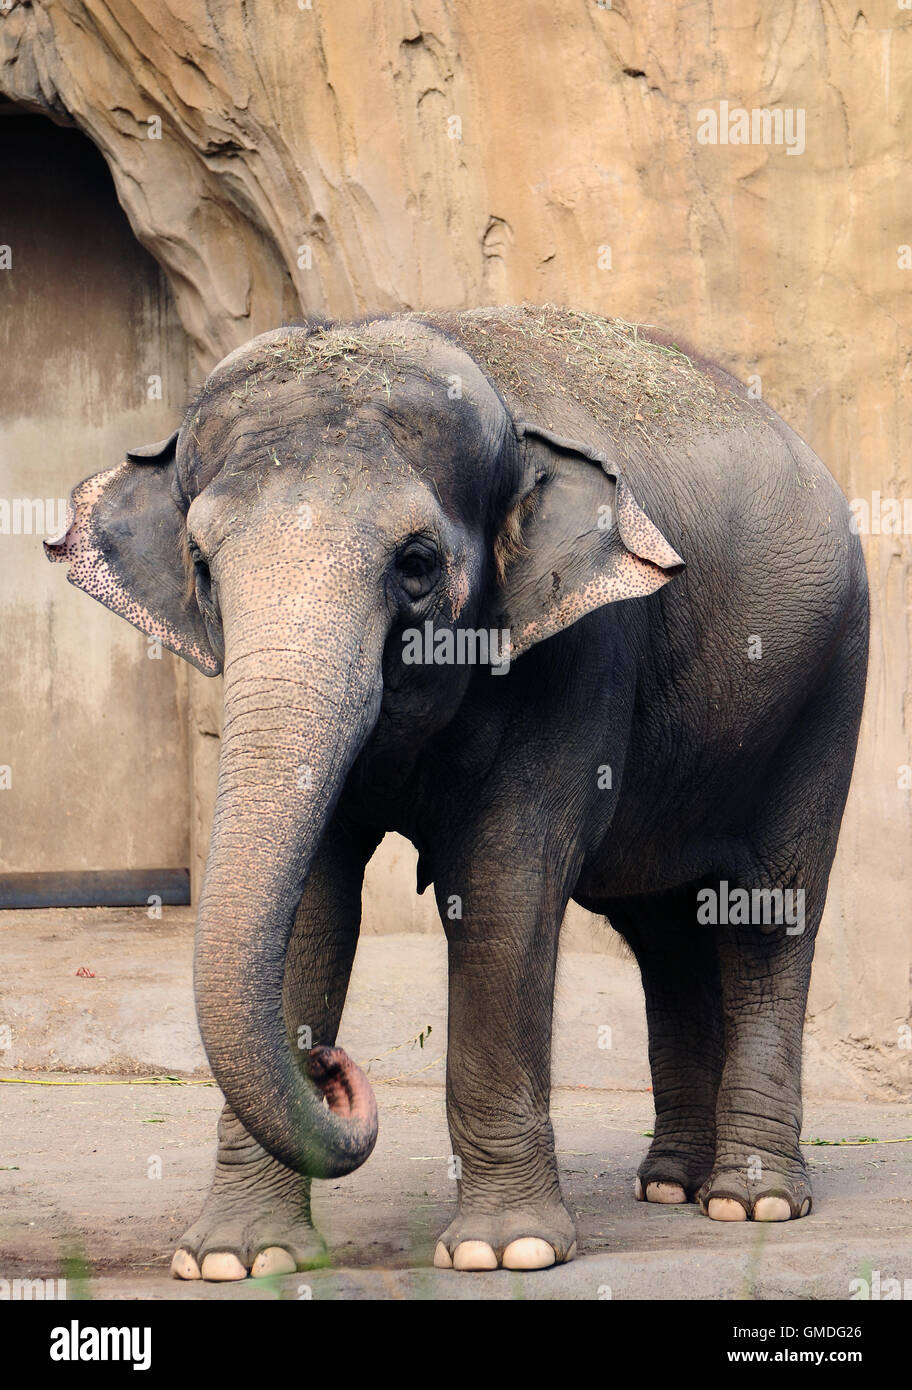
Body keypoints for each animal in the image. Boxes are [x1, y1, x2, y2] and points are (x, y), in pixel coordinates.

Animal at [46, 304, 868, 1277]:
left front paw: (504, 1252)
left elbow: (507, 883)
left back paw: (753, 1201)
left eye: (415, 563)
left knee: (766, 919)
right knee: (663, 932)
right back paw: (669, 1184)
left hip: (829, 684)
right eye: (203, 566)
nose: (331, 1069)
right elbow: (314, 900)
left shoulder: (581, 650)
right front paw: (237, 1260)